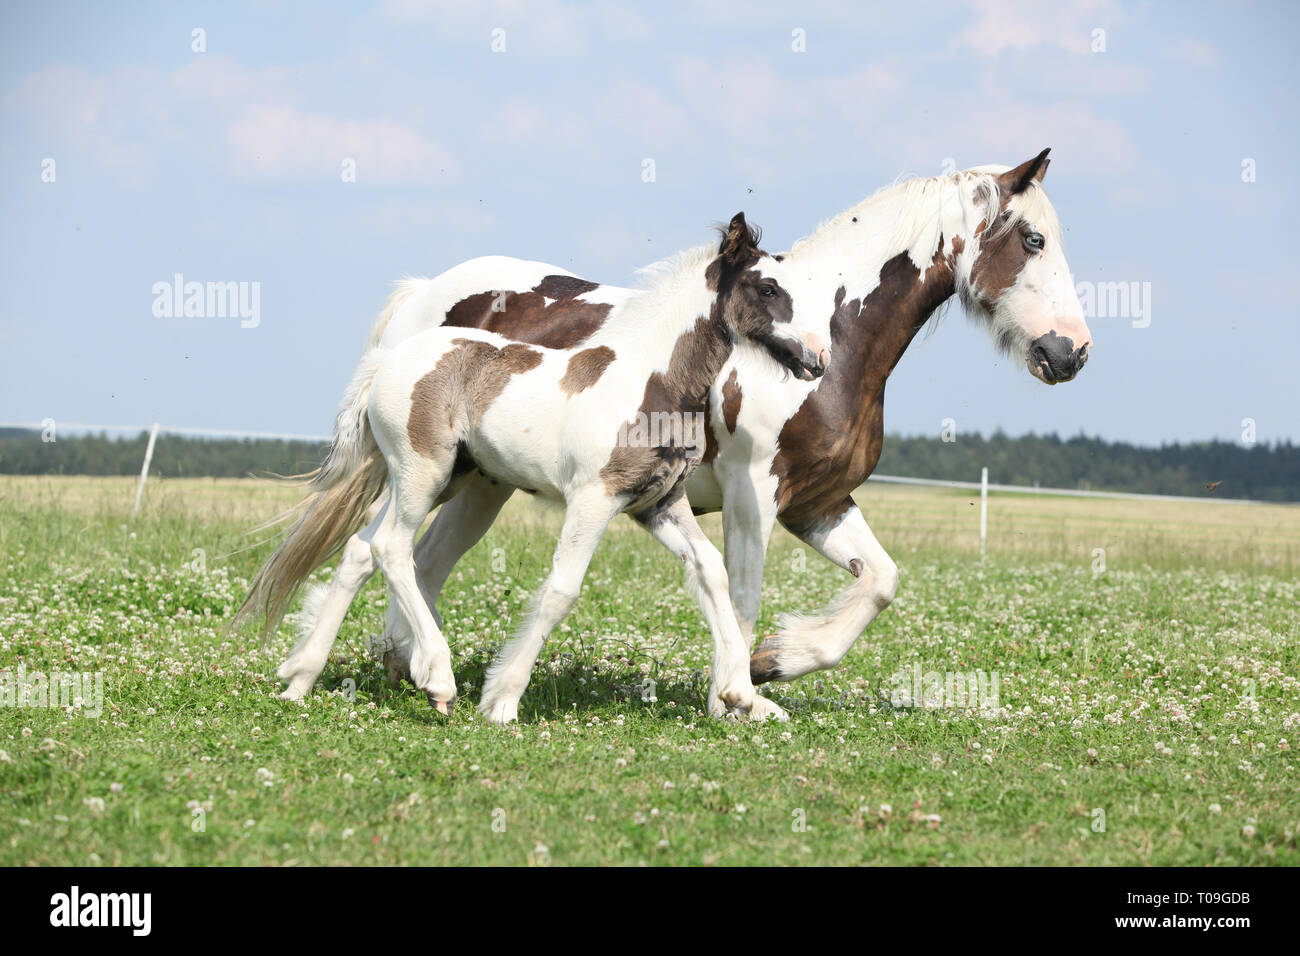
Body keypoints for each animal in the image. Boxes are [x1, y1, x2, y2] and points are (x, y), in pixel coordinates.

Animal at [234, 213, 829, 722]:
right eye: (768, 289)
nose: (818, 359)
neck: (650, 381)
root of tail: (391, 358)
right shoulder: (594, 498)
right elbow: (562, 589)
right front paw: (501, 699)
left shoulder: (658, 502)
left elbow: (711, 570)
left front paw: (740, 693)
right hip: (424, 473)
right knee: (392, 550)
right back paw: (438, 681)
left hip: (436, 480)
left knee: (361, 549)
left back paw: (300, 677)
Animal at [327, 150, 1093, 697]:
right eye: (1032, 239)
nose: (1072, 352)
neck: (836, 343)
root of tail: (423, 295)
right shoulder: (756, 495)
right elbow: (744, 596)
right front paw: (737, 688)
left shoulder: (819, 503)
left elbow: (880, 580)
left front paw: (776, 662)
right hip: (436, 474)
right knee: (376, 551)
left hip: (481, 483)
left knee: (415, 560)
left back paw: (407, 667)